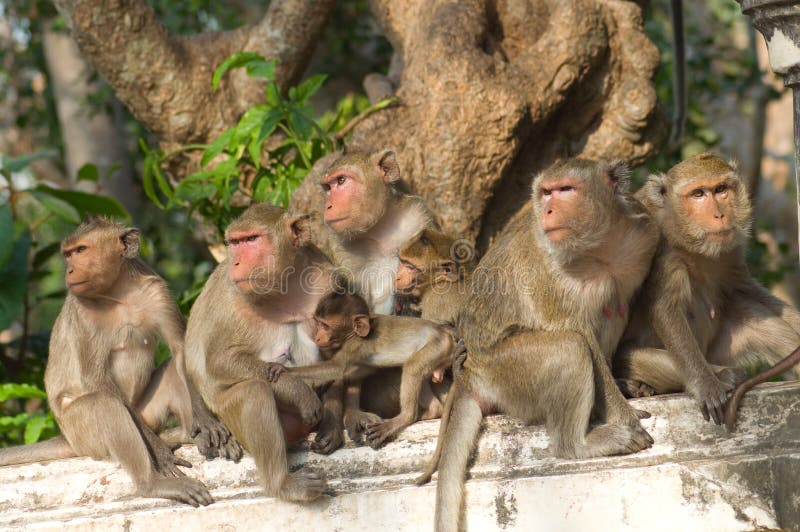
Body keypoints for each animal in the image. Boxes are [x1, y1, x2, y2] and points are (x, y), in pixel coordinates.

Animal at [0, 217, 219, 506]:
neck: (117, 291)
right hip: (82, 432)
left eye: (81, 250)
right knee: (106, 404)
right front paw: (161, 454)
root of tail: (66, 437)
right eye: (68, 254)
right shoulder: (82, 312)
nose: (69, 270)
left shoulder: (157, 290)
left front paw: (207, 422)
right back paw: (151, 484)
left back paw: (191, 433)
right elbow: (98, 381)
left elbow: (181, 349)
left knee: (173, 369)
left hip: (145, 413)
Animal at [184, 203, 339, 502]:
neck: (284, 288)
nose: (235, 263)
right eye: (235, 242)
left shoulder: (330, 279)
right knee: (254, 392)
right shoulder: (232, 298)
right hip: (229, 414)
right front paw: (295, 388)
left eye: (252, 239)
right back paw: (282, 484)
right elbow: (220, 361)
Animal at [288, 291, 461, 449]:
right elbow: (354, 375)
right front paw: (354, 415)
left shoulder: (355, 345)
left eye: (325, 326)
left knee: (412, 367)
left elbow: (337, 367)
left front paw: (283, 371)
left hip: (438, 345)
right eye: (318, 324)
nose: (317, 337)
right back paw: (431, 411)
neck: (354, 334)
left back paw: (405, 417)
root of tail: (446, 334)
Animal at [416, 159, 659, 532]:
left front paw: (620, 385)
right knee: (569, 347)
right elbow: (575, 332)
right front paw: (625, 417)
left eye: (565, 190)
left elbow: (619, 307)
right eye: (546, 192)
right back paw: (577, 445)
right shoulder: (546, 269)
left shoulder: (644, 235)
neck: (595, 249)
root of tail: (469, 376)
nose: (547, 210)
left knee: (609, 309)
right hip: (505, 373)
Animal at [614, 152, 800, 426]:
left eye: (721, 189)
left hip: (717, 349)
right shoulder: (661, 246)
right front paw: (706, 385)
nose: (719, 215)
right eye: (698, 194)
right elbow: (664, 310)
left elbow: (747, 289)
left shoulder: (732, 248)